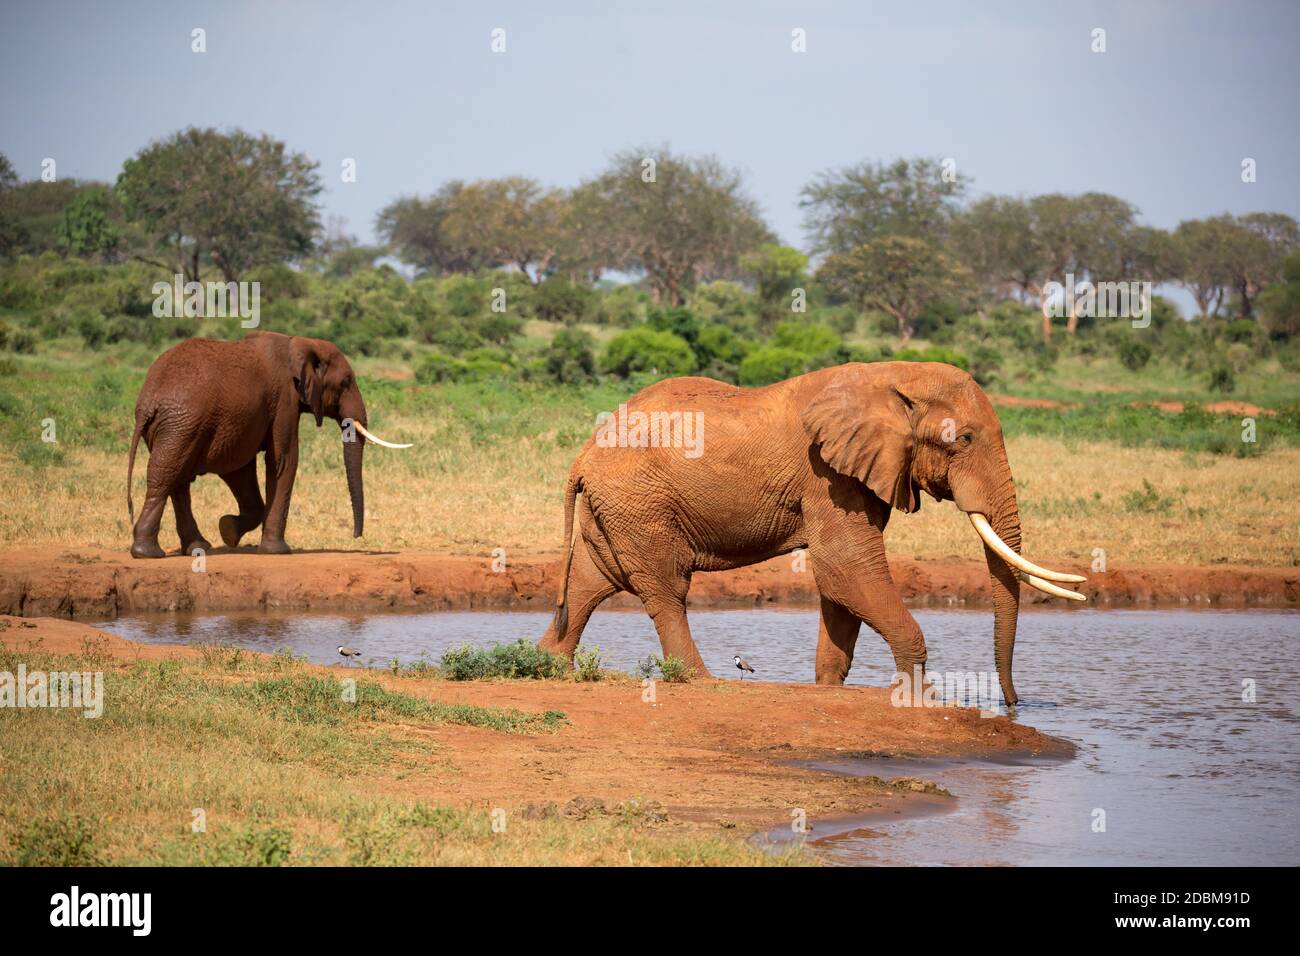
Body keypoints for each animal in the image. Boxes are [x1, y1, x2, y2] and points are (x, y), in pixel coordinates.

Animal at [126, 331, 410, 558]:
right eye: (347, 382)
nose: (356, 536)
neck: (300, 343)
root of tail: (148, 400)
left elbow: (240, 468)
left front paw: (228, 530)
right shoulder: (285, 399)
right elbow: (283, 459)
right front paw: (277, 551)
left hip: (177, 428)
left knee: (178, 479)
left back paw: (197, 547)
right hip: (183, 424)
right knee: (165, 476)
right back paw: (147, 553)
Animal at [538, 361, 1086, 704]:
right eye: (964, 438)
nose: (1014, 704)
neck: (893, 375)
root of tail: (584, 454)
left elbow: (840, 586)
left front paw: (828, 689)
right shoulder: (828, 474)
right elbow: (846, 568)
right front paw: (921, 698)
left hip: (616, 508)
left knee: (590, 581)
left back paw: (548, 665)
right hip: (640, 504)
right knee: (665, 589)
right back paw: (699, 680)